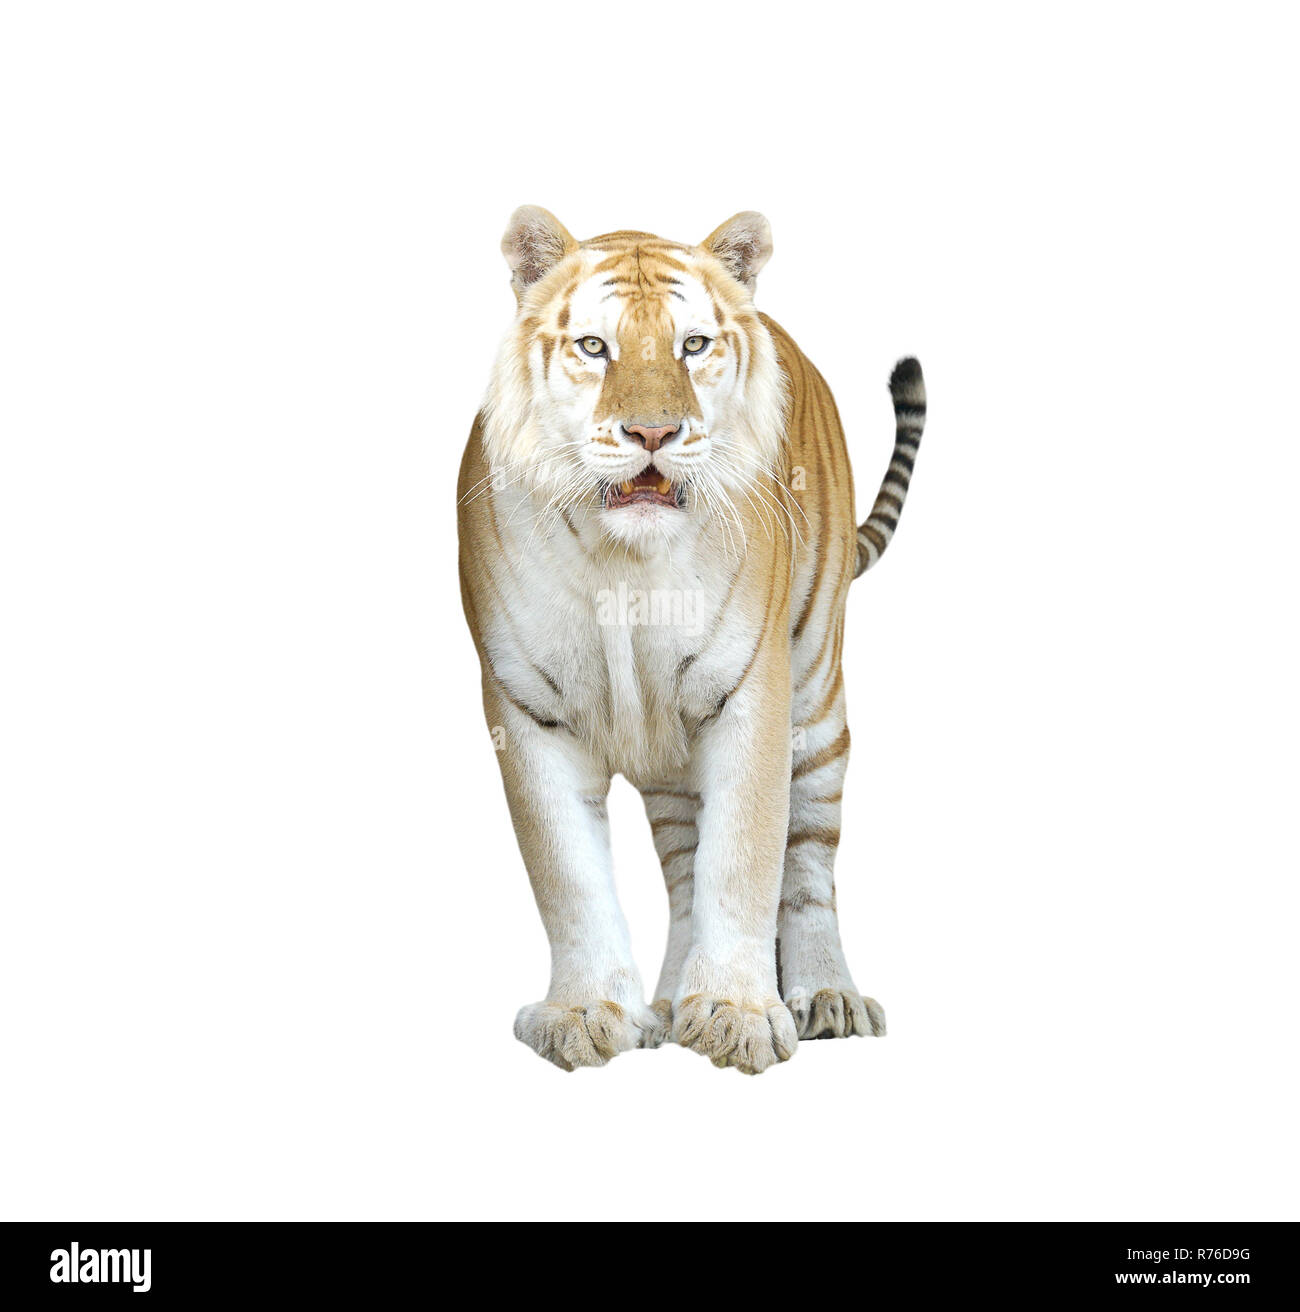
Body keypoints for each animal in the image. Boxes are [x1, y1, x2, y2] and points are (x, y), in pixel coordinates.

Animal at [458, 206, 926, 1074]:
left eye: (693, 345)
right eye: (594, 347)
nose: (653, 431)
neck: (623, 561)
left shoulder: (752, 697)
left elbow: (745, 858)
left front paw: (741, 1014)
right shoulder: (526, 710)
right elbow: (567, 875)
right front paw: (587, 1013)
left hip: (817, 694)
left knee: (809, 862)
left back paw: (828, 997)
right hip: (672, 763)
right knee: (682, 871)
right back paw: (673, 1002)